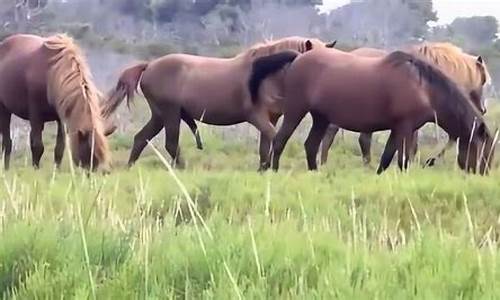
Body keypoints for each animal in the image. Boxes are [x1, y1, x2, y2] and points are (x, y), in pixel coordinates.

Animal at [0, 34, 113, 170]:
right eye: (87, 150)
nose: (90, 171)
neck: (52, 74)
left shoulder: (61, 118)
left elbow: (60, 147)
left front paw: (56, 170)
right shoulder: (36, 115)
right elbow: (37, 145)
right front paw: (36, 169)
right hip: (4, 110)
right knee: (7, 142)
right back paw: (6, 169)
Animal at [103, 35, 326, 169]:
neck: (268, 73)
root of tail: (149, 65)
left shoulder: (271, 117)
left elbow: (265, 146)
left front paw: (264, 169)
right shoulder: (257, 117)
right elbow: (274, 137)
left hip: (159, 115)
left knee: (141, 138)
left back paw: (130, 167)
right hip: (170, 113)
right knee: (170, 144)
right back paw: (182, 169)